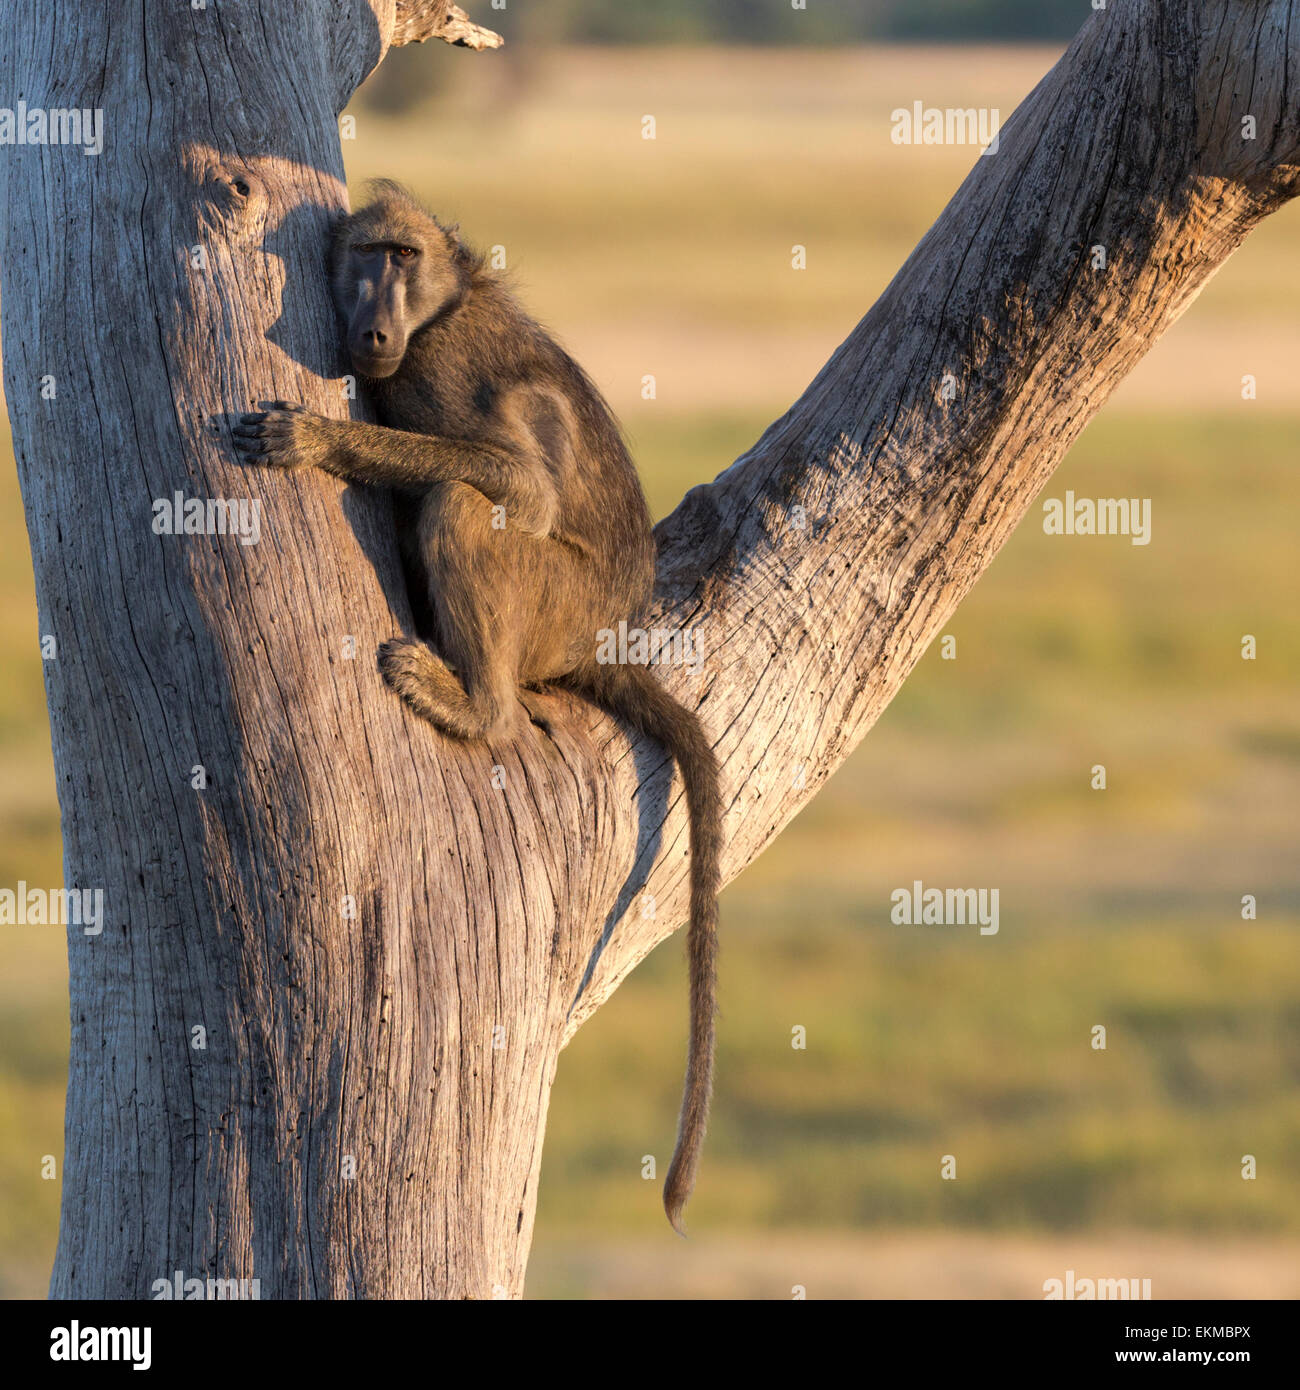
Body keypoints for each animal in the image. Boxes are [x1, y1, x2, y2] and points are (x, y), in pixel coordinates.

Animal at [232, 181, 721, 1233]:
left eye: (404, 257)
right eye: (365, 253)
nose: (374, 326)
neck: (441, 309)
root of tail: (603, 632)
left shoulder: (444, 365)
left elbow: (522, 484)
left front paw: (318, 440)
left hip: (553, 604)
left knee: (461, 500)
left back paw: (478, 708)